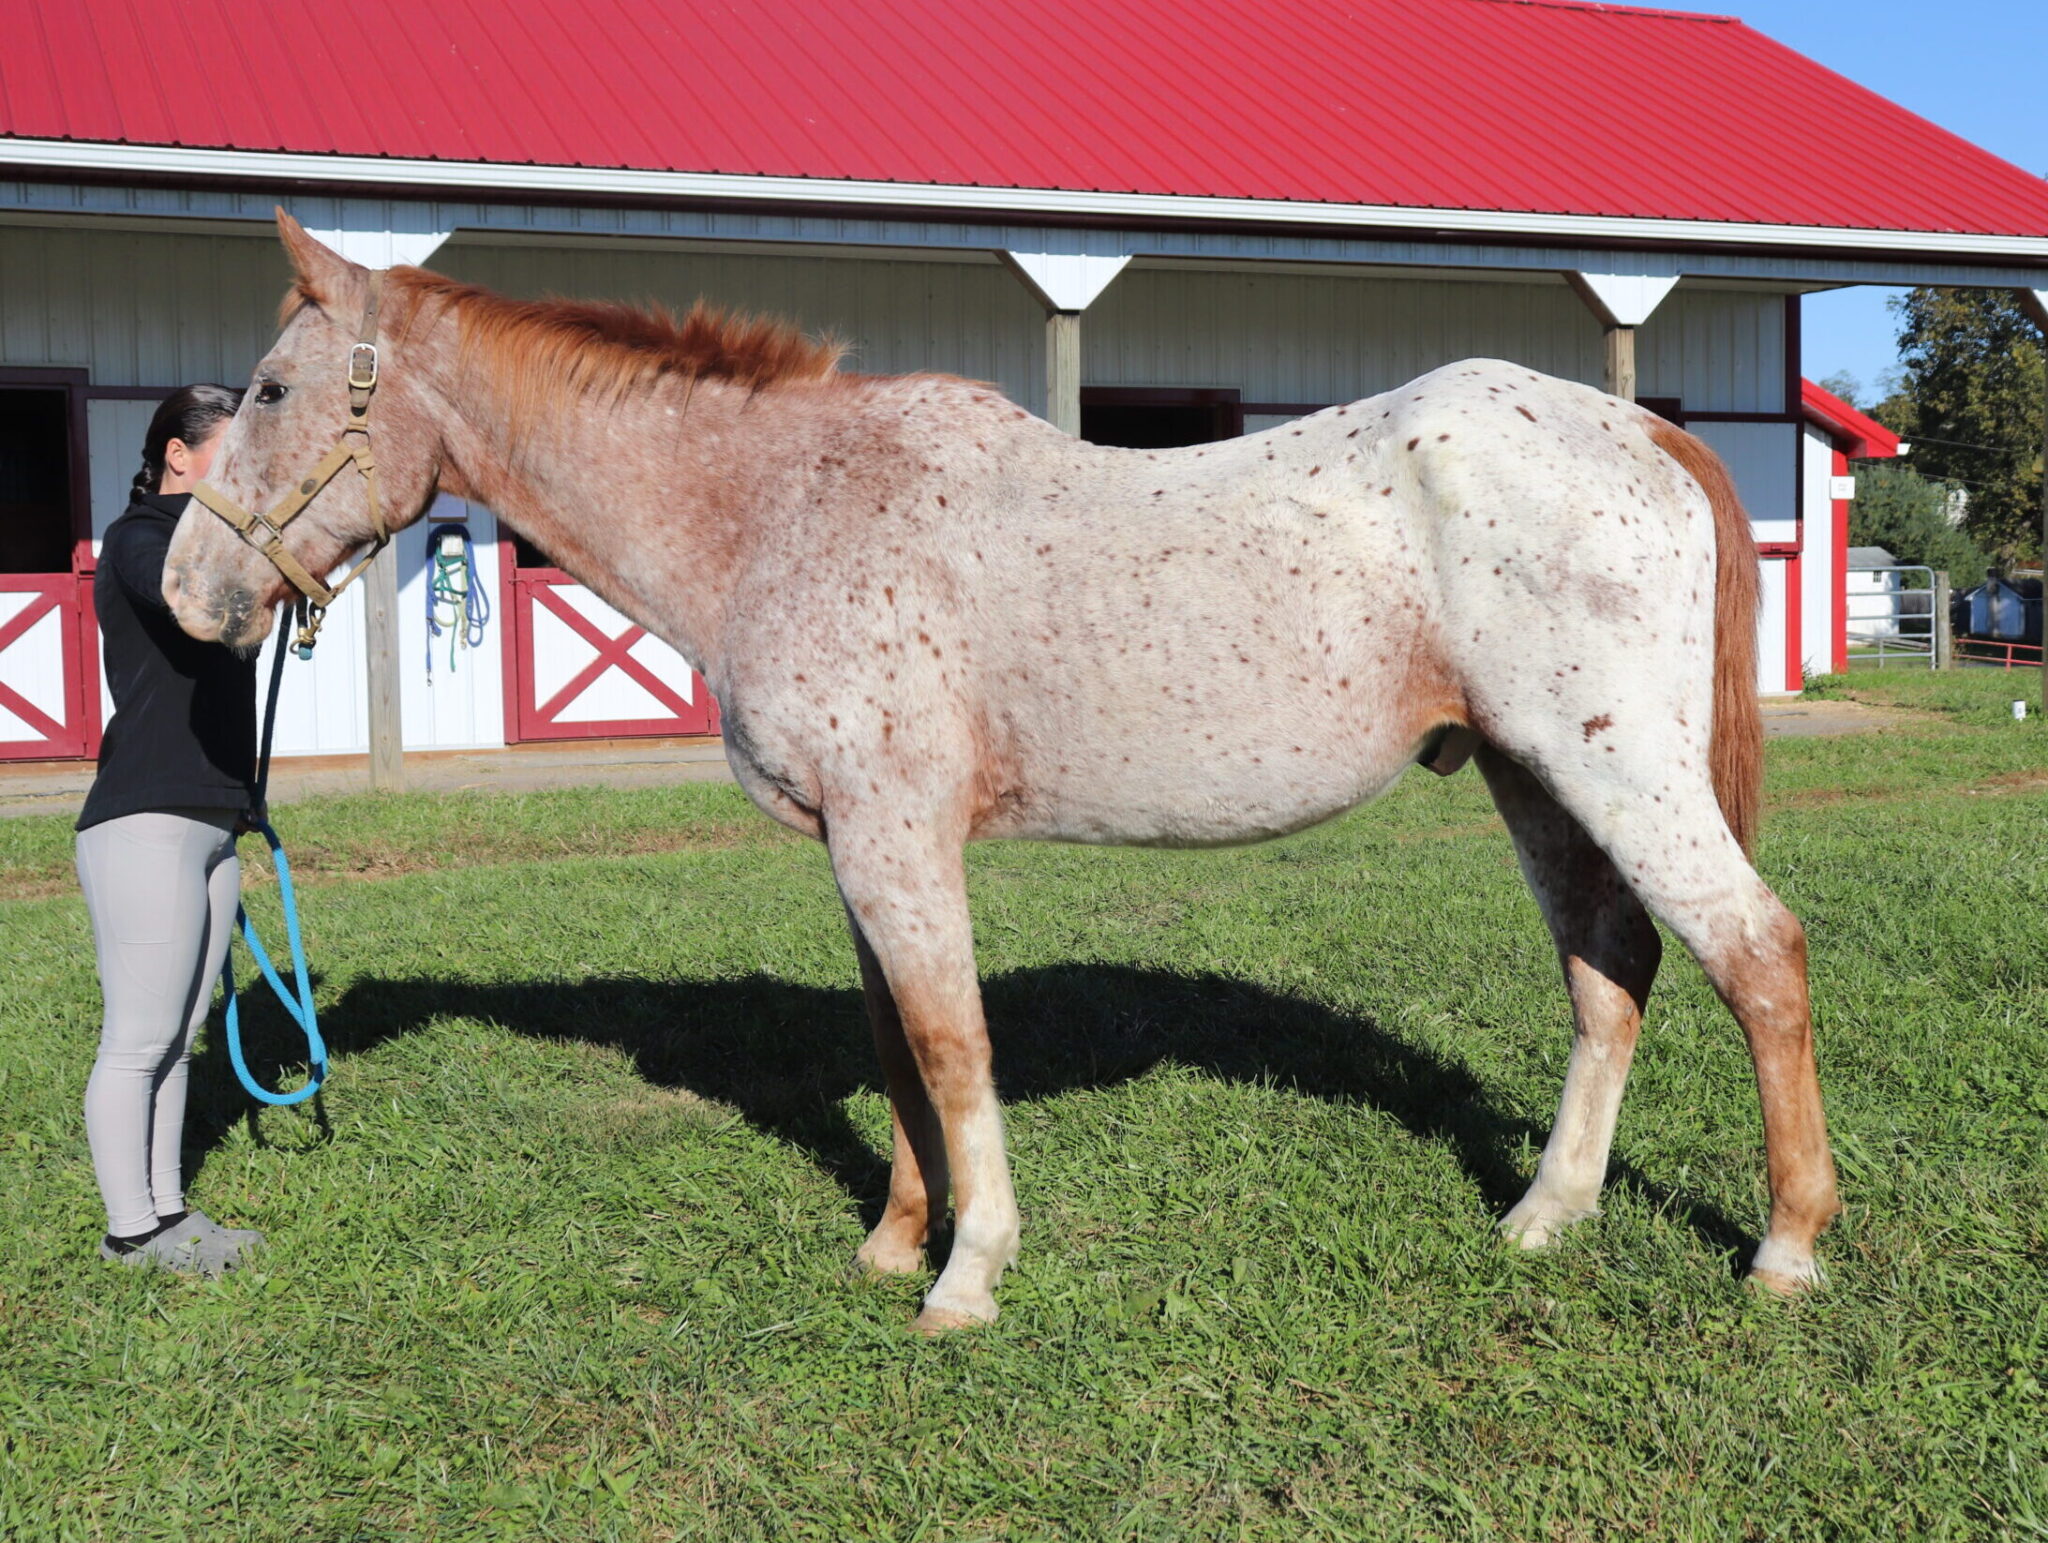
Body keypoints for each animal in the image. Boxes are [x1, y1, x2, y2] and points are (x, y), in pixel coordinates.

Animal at [164, 212, 1839, 1331]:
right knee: (1611, 971)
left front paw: (967, 1274)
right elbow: (898, 1048)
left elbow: (953, 1044)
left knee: (1755, 949)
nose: (188, 594)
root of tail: (1637, 429)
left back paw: (1786, 1247)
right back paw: (1546, 1214)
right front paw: (895, 1241)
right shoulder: (856, 844)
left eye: (268, 391)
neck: (783, 505)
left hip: (1616, 771)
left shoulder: (900, 837)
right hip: (1532, 775)